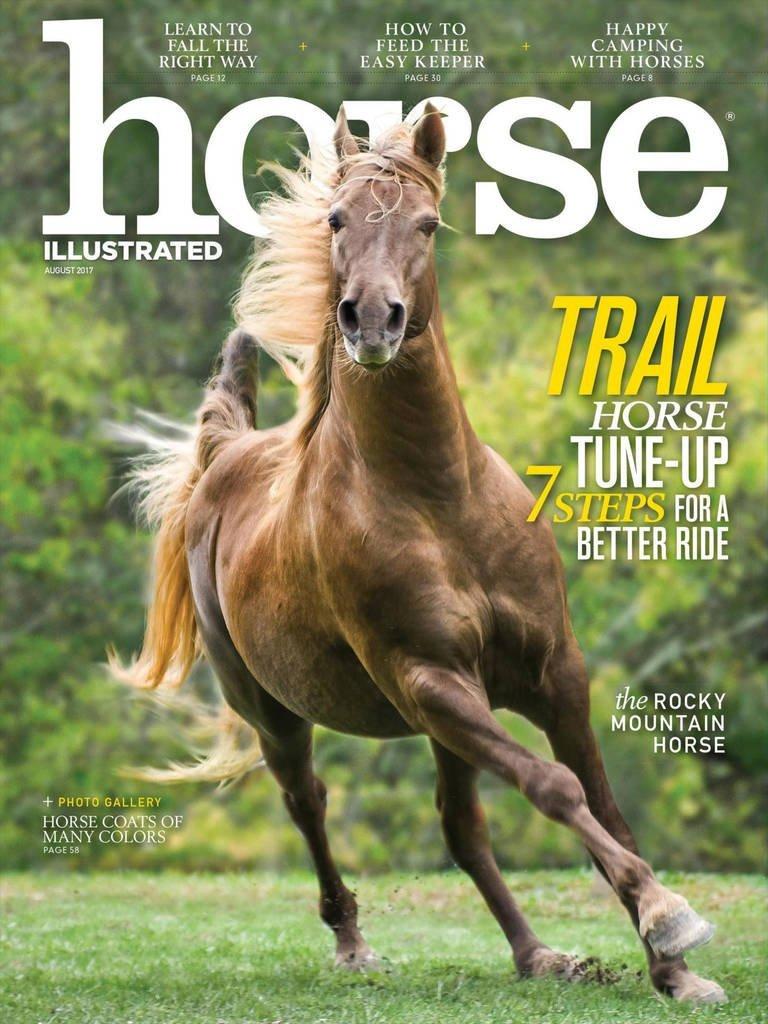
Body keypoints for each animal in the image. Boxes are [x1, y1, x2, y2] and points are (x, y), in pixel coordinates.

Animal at [112, 104, 725, 1004]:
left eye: (428, 224)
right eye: (335, 220)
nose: (373, 321)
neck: (436, 499)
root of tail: (224, 456)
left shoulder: (556, 673)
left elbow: (599, 803)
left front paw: (676, 970)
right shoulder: (429, 679)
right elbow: (554, 786)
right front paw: (667, 915)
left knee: (460, 827)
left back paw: (540, 956)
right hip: (279, 712)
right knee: (310, 801)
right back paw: (354, 945)